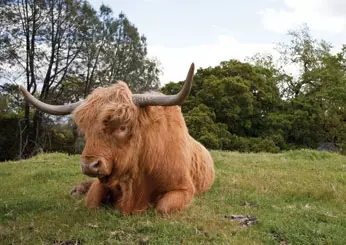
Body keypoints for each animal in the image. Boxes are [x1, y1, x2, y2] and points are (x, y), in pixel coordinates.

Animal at [20, 63, 215, 214]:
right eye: (86, 130)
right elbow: (91, 201)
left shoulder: (184, 188)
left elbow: (163, 207)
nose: (89, 165)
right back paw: (77, 189)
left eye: (123, 127)